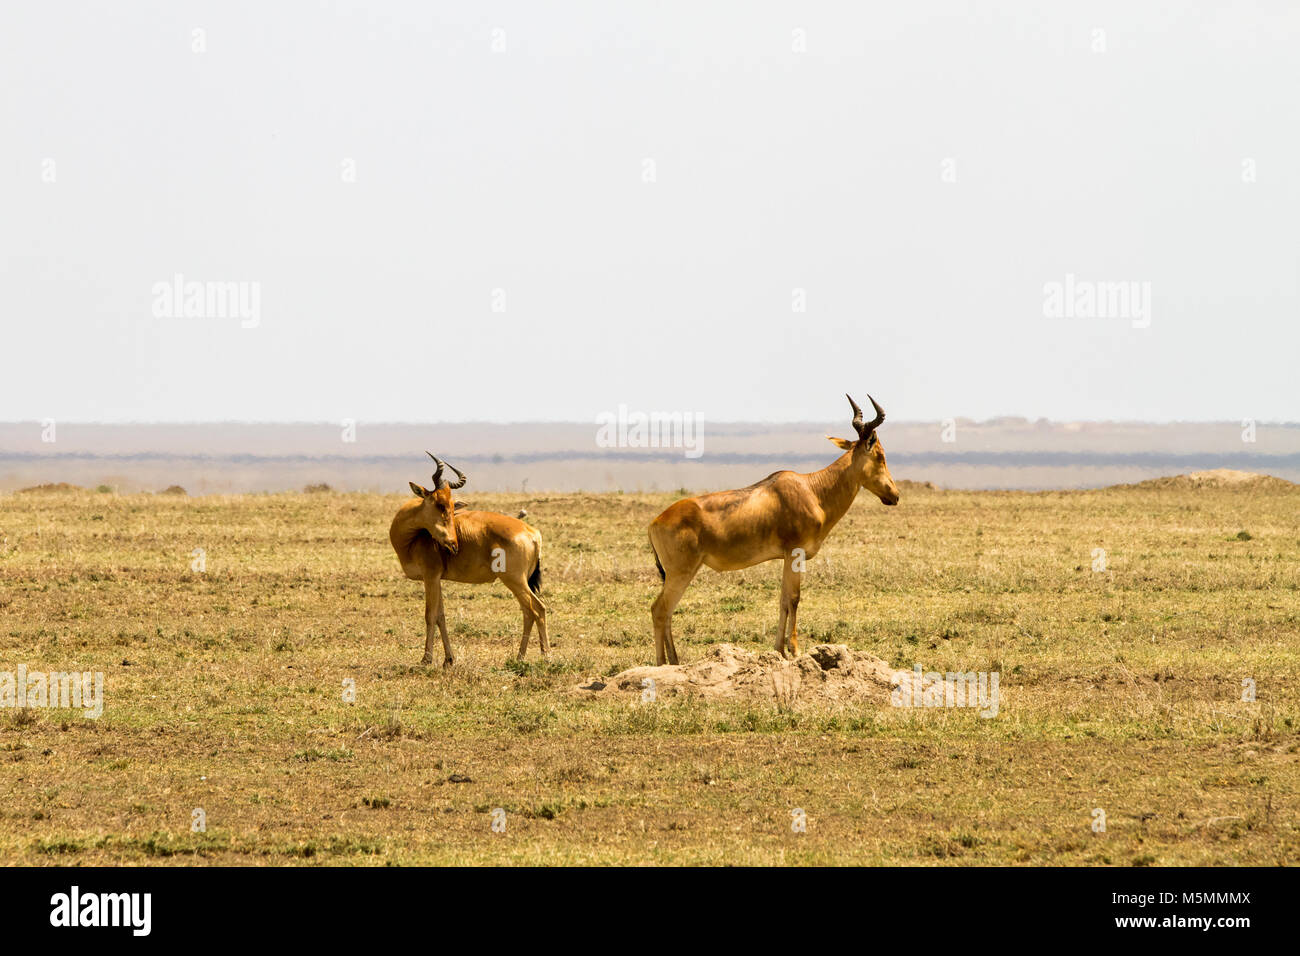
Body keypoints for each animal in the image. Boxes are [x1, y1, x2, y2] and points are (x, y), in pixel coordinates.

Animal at [389, 454, 548, 666]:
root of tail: (532, 533)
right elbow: (440, 616)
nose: (453, 545)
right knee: (528, 612)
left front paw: (426, 659)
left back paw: (546, 656)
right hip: (519, 582)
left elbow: (430, 615)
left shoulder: (430, 577)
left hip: (514, 580)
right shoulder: (436, 579)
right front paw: (448, 659)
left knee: (538, 609)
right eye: (440, 504)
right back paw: (519, 657)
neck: (415, 537)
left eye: (451, 505)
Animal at [647, 394, 899, 665]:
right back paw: (663, 664)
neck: (812, 490)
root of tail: (655, 522)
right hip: (680, 572)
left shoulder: (787, 558)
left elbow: (783, 600)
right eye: (880, 455)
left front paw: (779, 650)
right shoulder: (796, 554)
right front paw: (795, 650)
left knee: (668, 611)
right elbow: (794, 599)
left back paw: (675, 662)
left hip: (681, 572)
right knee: (659, 609)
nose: (894, 496)